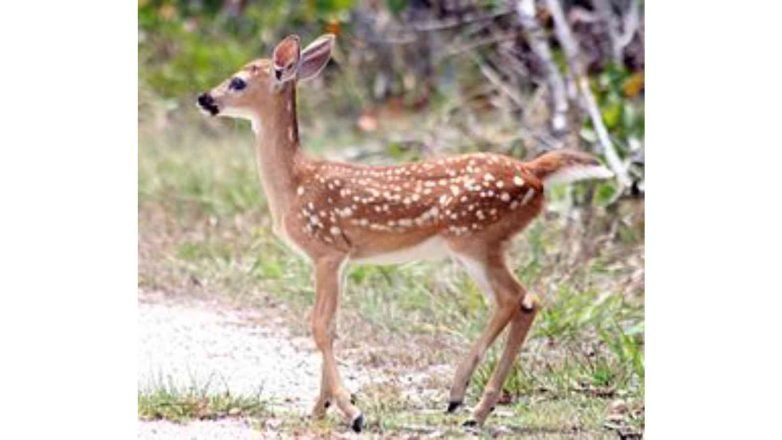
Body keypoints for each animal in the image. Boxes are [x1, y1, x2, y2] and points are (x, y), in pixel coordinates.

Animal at [196, 34, 614, 433]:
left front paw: (351, 411)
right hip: (484, 242)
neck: (295, 183)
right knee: (521, 302)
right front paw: (319, 410)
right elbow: (332, 325)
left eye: (238, 81)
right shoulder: (342, 257)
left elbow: (319, 326)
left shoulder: (326, 248)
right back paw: (471, 405)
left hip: (474, 237)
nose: (204, 98)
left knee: (516, 298)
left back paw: (464, 400)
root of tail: (534, 172)